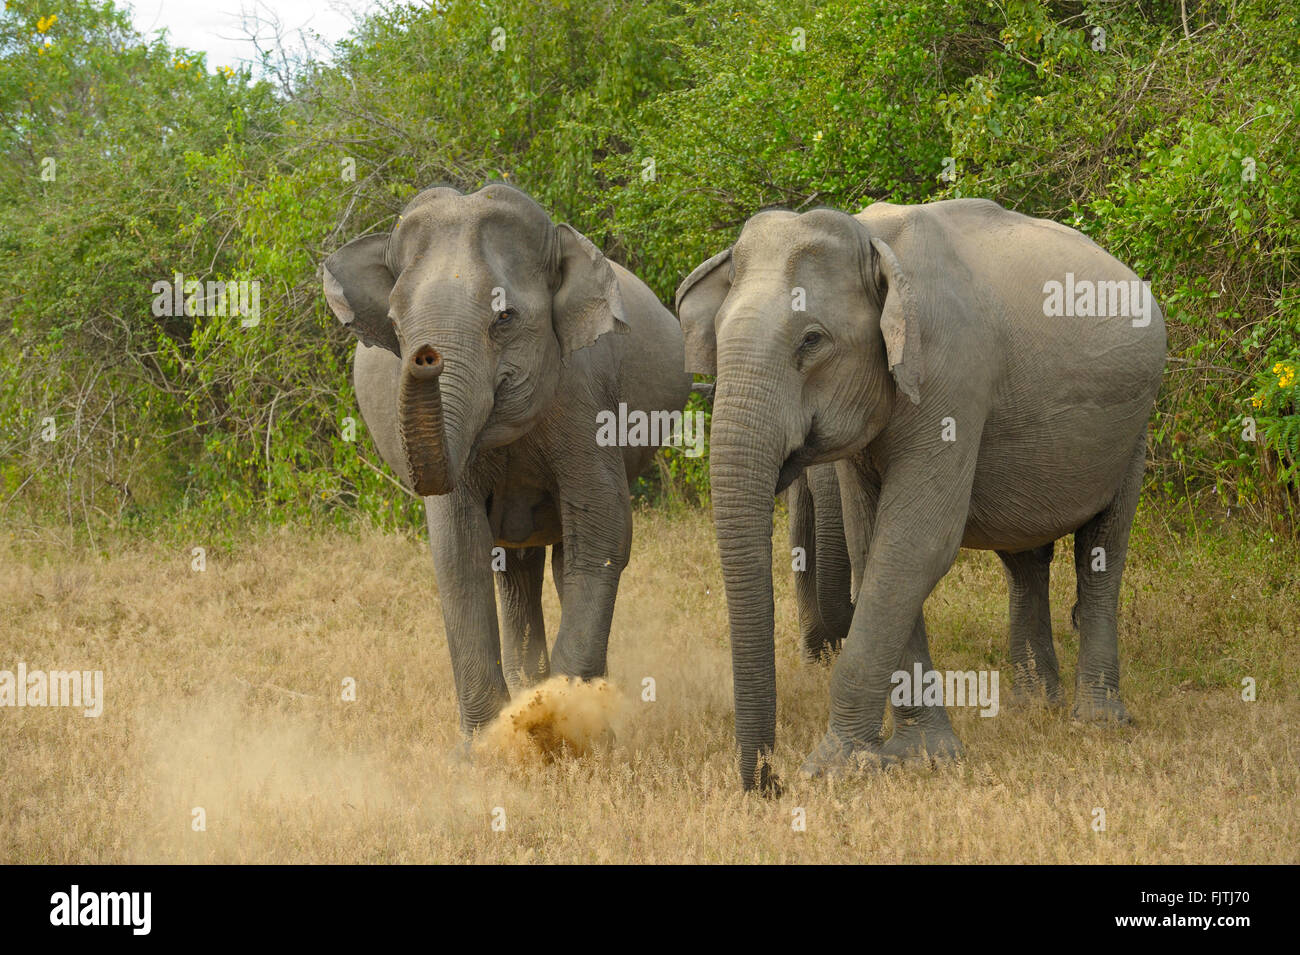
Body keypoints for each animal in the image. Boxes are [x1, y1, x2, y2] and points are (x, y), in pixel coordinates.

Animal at [325, 182, 692, 735]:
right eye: (392, 322)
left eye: (504, 317)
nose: (425, 356)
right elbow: (458, 548)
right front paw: (488, 742)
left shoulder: (587, 397)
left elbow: (604, 533)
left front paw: (562, 727)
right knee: (514, 568)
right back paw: (529, 690)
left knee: (559, 560)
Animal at [676, 197, 1166, 792]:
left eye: (812, 341)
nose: (769, 784)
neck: (870, 239)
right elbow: (874, 547)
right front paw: (922, 756)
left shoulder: (950, 379)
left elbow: (915, 543)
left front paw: (833, 768)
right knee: (1026, 559)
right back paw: (1034, 705)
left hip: (1135, 425)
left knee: (1102, 550)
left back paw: (1095, 721)